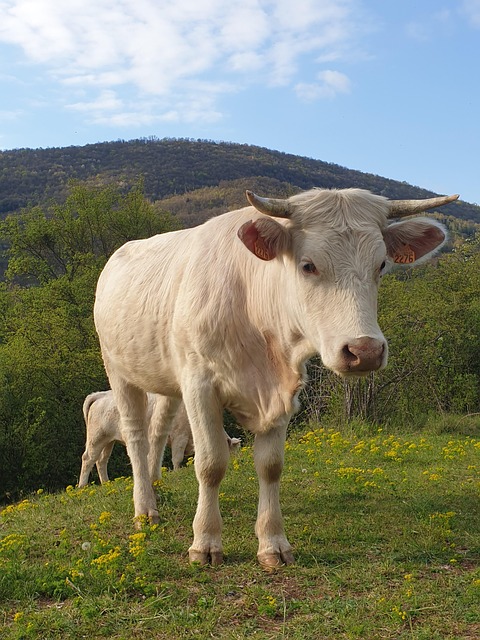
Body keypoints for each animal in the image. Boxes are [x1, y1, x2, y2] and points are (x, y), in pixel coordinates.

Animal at [78, 391, 240, 486]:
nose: (236, 465)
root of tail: (100, 395)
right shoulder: (179, 437)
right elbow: (177, 459)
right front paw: (176, 473)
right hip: (96, 437)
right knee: (88, 459)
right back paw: (82, 486)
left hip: (109, 441)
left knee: (101, 461)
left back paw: (106, 483)